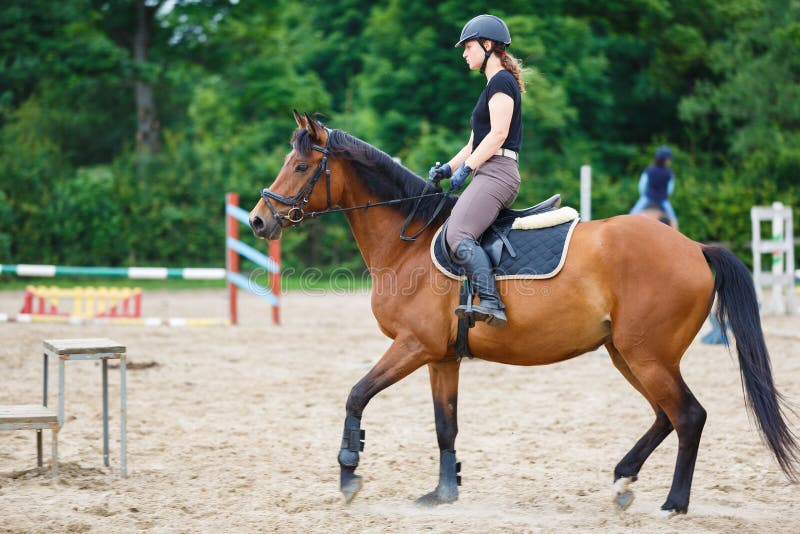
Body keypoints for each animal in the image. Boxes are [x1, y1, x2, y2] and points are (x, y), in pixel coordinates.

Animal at [248, 111, 798, 516]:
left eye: (301, 168)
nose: (258, 220)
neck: (411, 242)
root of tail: (696, 248)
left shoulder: (412, 345)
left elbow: (356, 395)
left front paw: (348, 471)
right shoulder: (441, 357)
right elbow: (445, 426)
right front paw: (444, 493)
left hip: (647, 356)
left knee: (688, 415)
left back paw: (673, 503)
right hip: (628, 354)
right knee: (667, 415)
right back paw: (624, 480)